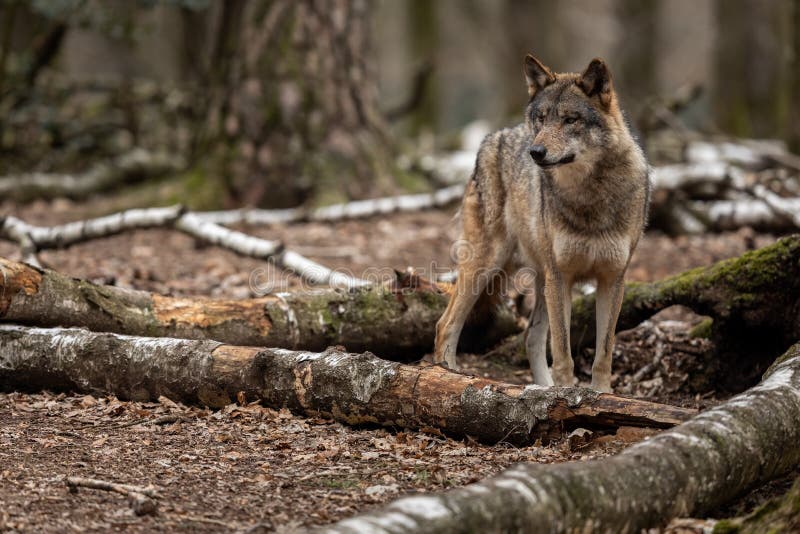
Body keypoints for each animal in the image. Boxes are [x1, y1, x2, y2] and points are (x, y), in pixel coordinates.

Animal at [433, 55, 649, 392]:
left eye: (570, 120)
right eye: (542, 118)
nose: (535, 151)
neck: (589, 197)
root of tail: (493, 136)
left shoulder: (612, 280)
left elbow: (603, 353)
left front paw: (602, 395)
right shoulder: (562, 278)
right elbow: (562, 352)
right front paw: (565, 393)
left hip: (540, 278)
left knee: (530, 337)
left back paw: (539, 387)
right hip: (488, 265)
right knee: (446, 324)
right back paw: (449, 376)